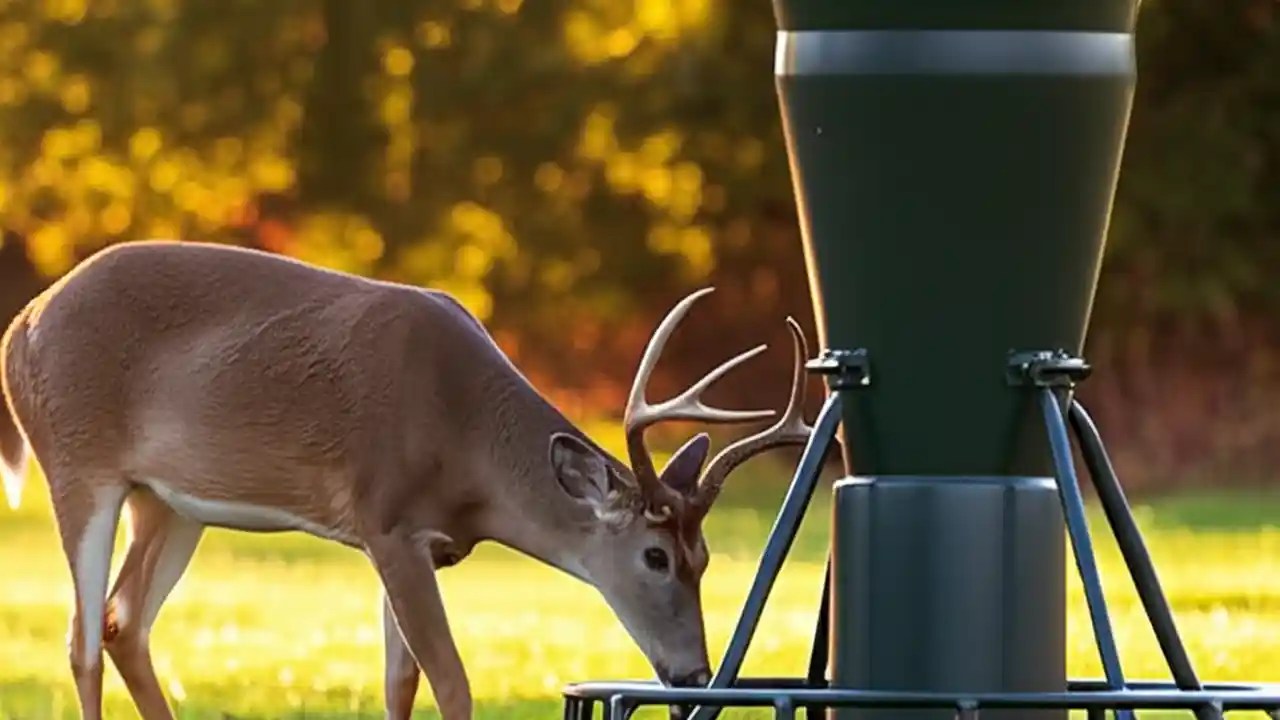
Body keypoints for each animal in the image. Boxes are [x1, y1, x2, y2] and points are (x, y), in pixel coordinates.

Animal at [0, 240, 822, 720]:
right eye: (654, 557)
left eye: (705, 558)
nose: (692, 674)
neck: (469, 448)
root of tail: (22, 324)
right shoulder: (385, 519)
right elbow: (451, 682)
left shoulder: (422, 545)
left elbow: (401, 680)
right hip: (77, 460)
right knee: (81, 637)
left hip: (171, 504)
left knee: (124, 623)